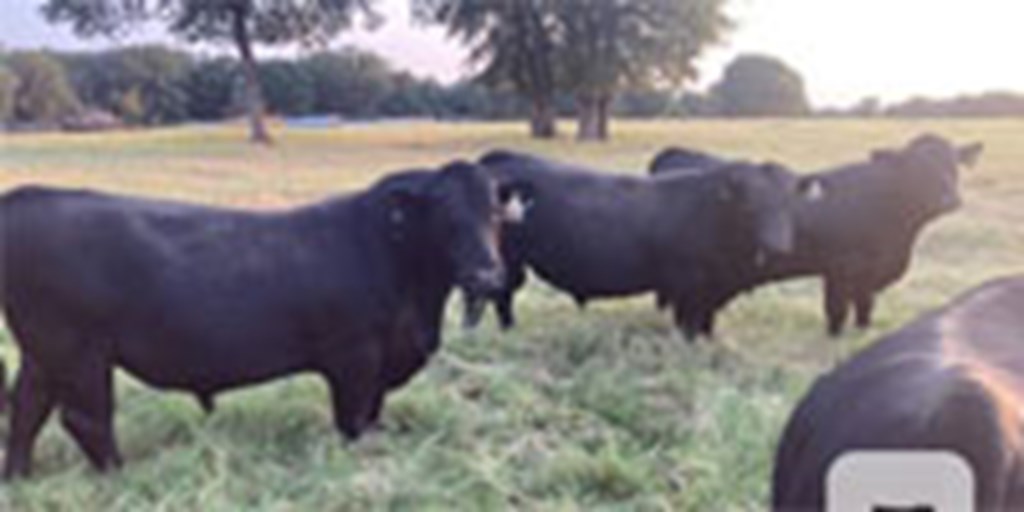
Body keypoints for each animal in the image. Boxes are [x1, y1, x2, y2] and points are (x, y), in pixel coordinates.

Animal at [0, 161, 527, 478]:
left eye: (495, 215)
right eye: (444, 216)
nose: (486, 274)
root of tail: (25, 197)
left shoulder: (382, 361)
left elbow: (373, 415)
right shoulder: (354, 357)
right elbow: (353, 419)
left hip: (44, 353)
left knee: (26, 410)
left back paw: (19, 478)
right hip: (76, 351)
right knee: (85, 419)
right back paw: (119, 474)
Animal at [467, 150, 815, 339]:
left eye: (790, 204)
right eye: (749, 205)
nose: (778, 246)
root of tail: (500, 160)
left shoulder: (709, 292)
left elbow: (705, 326)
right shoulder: (687, 287)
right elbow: (688, 327)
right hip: (502, 263)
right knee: (494, 298)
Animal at [648, 135, 983, 336]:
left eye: (954, 164)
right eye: (917, 166)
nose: (950, 199)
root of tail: (675, 150)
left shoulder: (867, 279)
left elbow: (864, 309)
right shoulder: (841, 270)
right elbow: (836, 311)